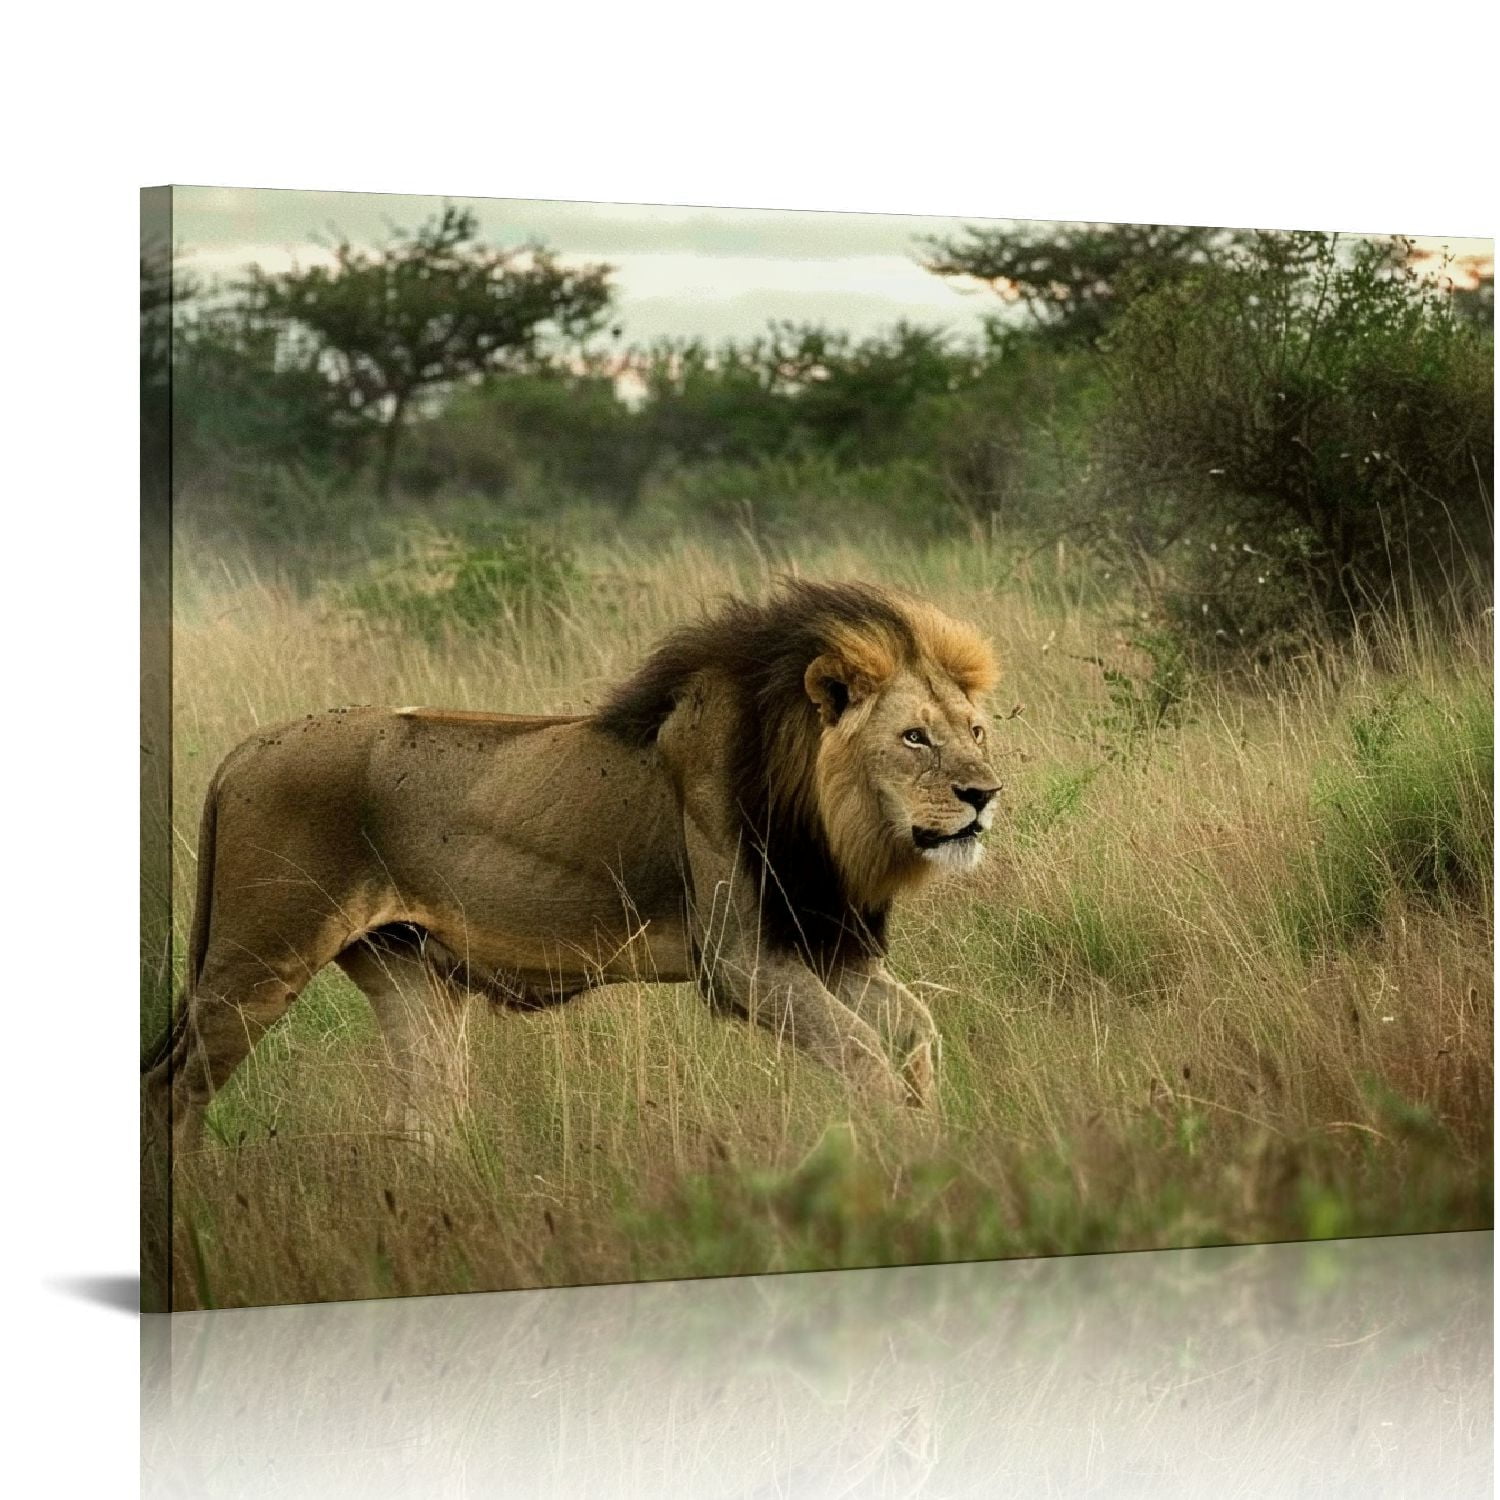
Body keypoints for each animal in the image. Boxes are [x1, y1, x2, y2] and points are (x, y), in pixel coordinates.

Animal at [149, 579, 1001, 1151]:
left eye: (975, 730)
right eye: (915, 738)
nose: (984, 794)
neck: (822, 814)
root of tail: (240, 754)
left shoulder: (822, 938)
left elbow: (917, 1031)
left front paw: (936, 1135)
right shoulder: (741, 959)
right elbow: (862, 1054)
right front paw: (908, 1153)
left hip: (406, 968)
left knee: (423, 1110)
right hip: (259, 958)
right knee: (172, 1089)